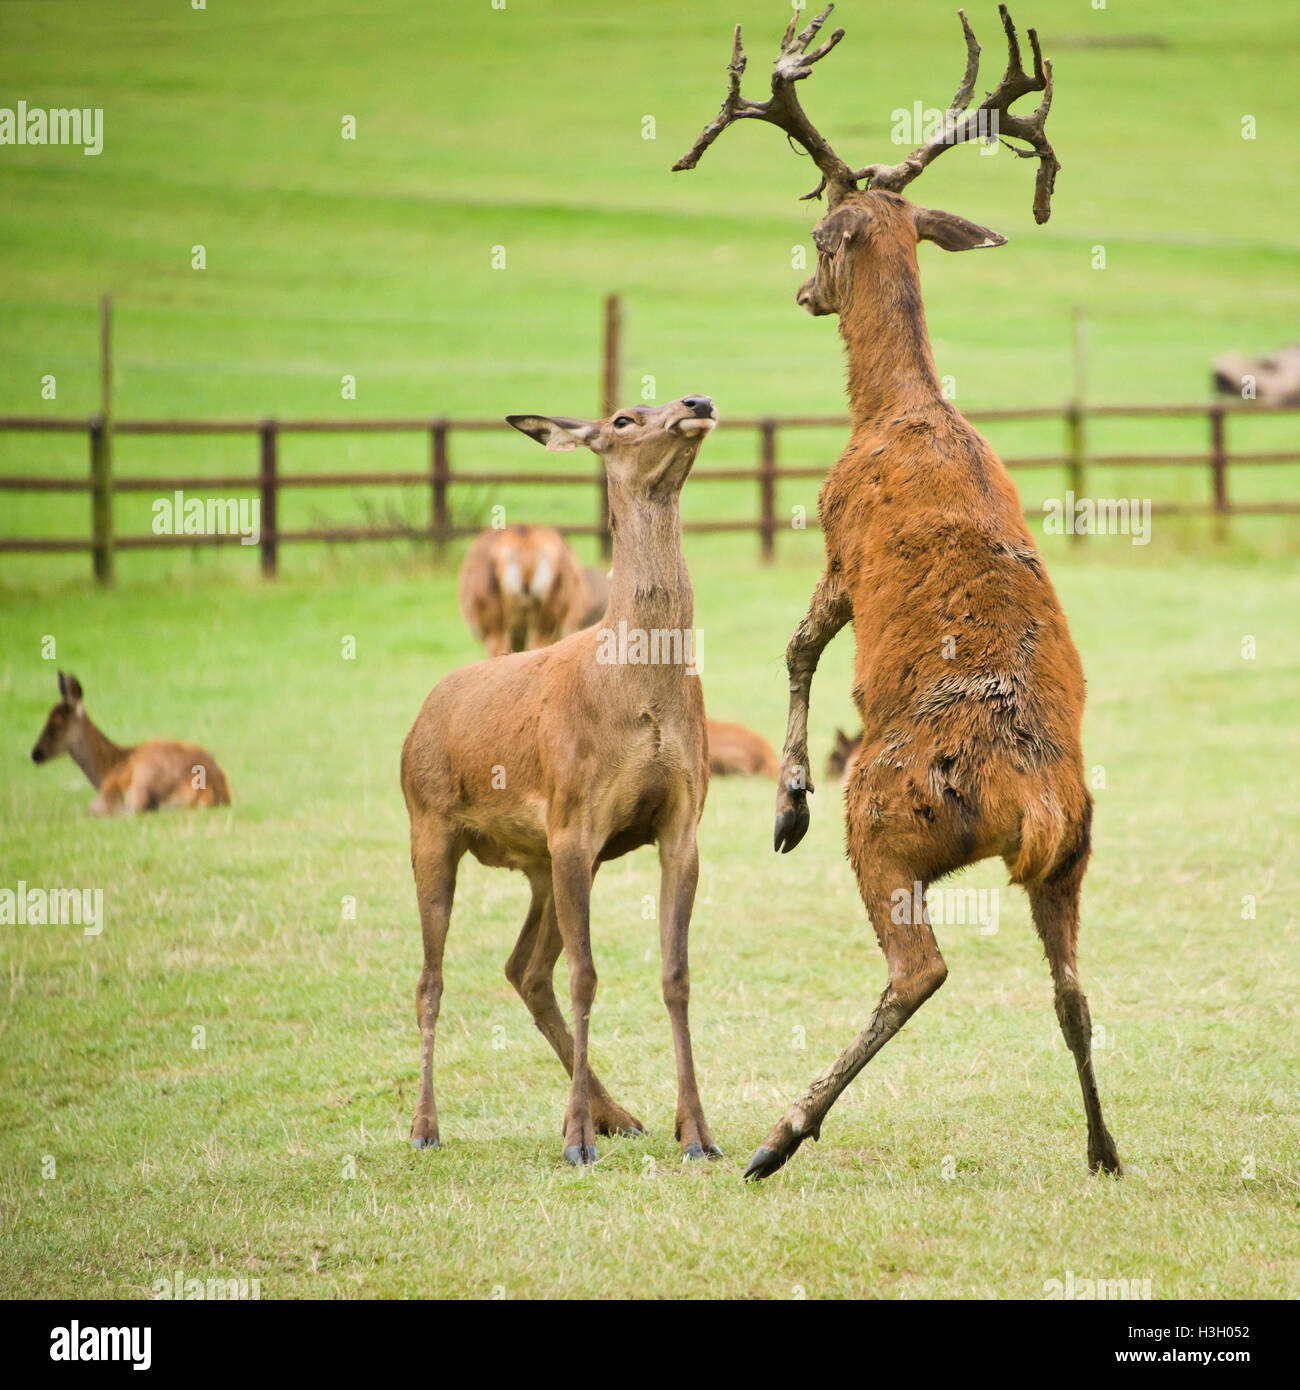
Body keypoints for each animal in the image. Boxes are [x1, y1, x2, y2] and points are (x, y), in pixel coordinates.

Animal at [674, 4, 1121, 1181]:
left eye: (823, 236)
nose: (800, 290)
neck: (896, 409)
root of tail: (1033, 808)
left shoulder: (836, 539)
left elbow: (795, 645)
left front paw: (784, 803)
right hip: (1076, 857)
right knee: (1072, 993)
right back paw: (1105, 1148)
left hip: (889, 820)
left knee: (921, 969)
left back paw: (779, 1135)